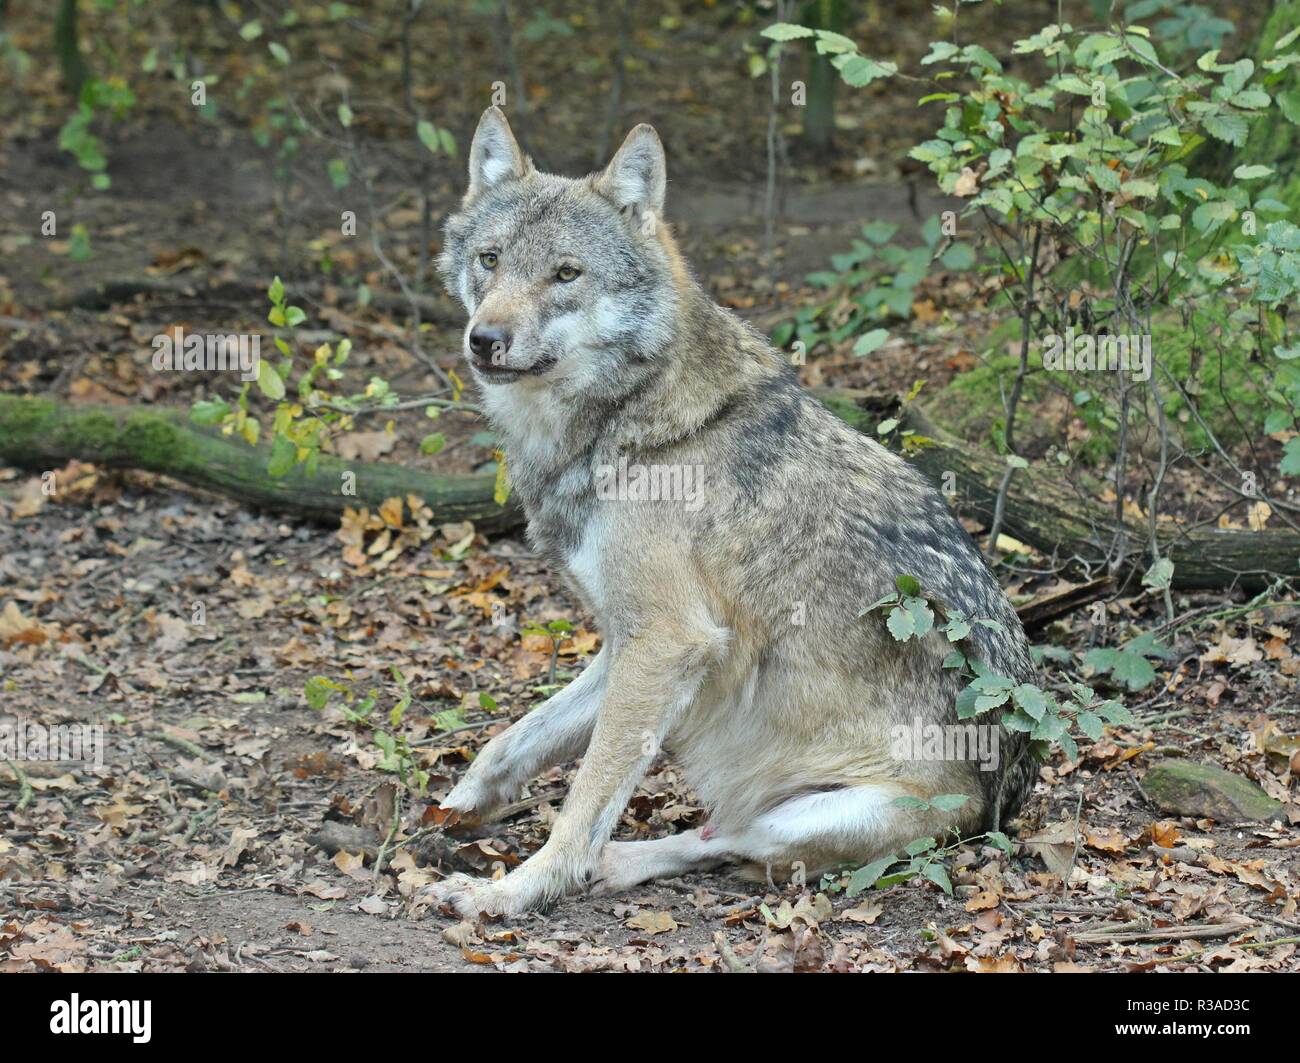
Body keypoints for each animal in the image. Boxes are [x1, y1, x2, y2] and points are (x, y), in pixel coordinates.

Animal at [430, 107, 1037, 918]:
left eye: (565, 273)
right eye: (490, 260)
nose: (486, 339)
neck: (629, 418)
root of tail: (1003, 805)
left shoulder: (667, 641)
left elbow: (583, 803)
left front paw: (514, 891)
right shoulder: (628, 642)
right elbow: (514, 739)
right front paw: (457, 804)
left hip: (816, 815)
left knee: (727, 841)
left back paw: (610, 865)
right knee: (713, 833)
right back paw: (618, 863)